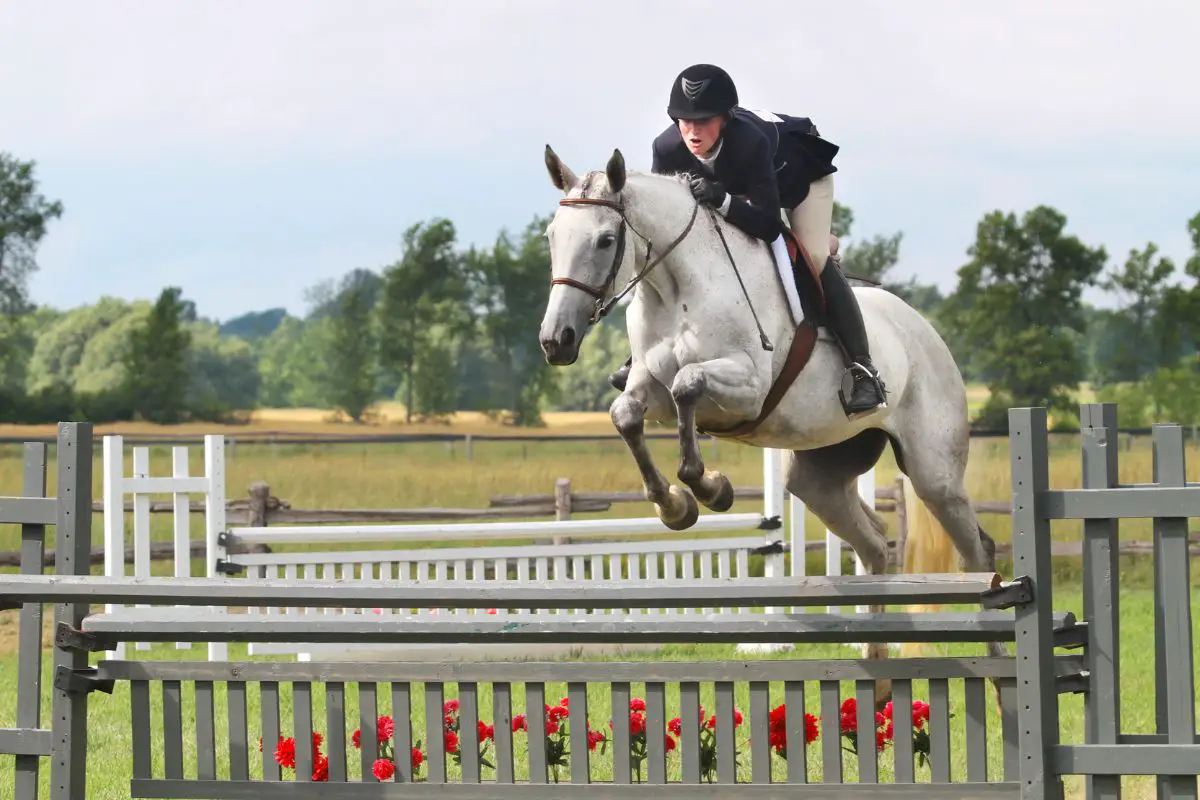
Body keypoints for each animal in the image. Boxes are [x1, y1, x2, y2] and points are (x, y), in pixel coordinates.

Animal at [536, 145, 1001, 690]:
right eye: (552, 237)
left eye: (606, 239)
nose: (556, 341)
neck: (677, 287)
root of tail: (925, 329)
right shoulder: (648, 386)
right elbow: (626, 412)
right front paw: (675, 505)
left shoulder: (749, 386)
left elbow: (688, 384)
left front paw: (710, 488)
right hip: (818, 476)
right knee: (873, 544)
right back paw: (879, 678)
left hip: (934, 472)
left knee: (977, 552)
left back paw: (998, 672)